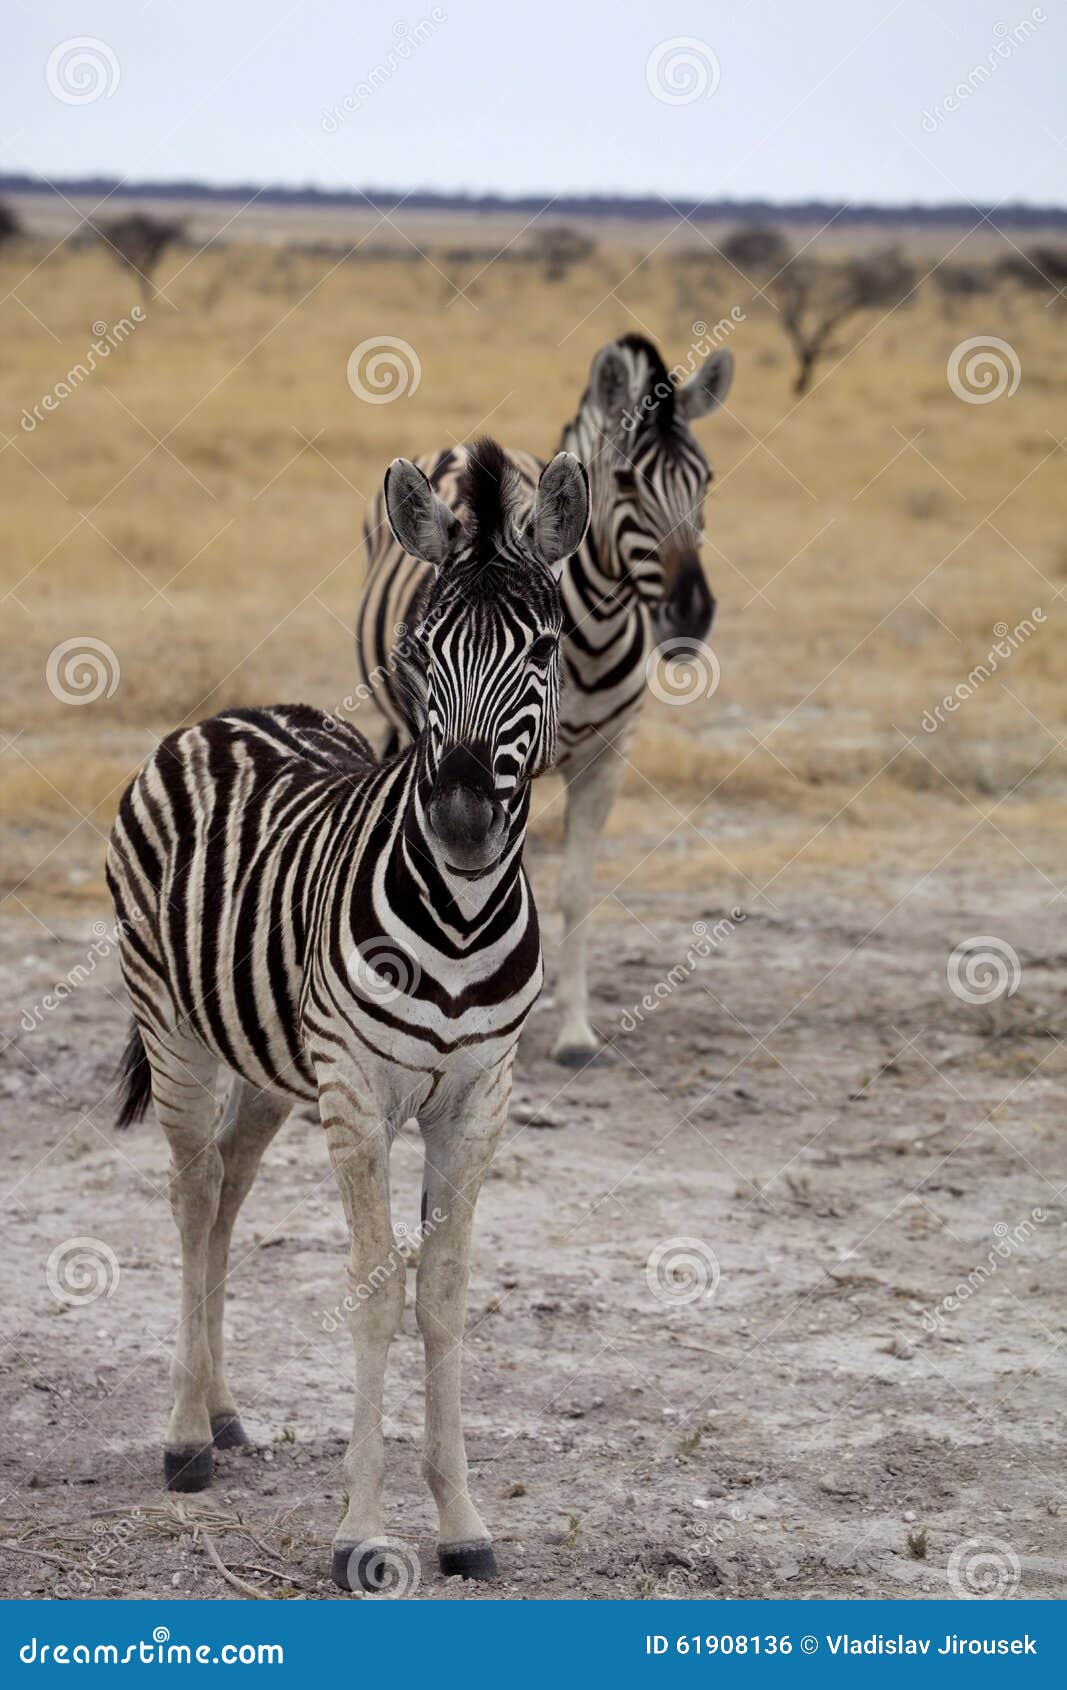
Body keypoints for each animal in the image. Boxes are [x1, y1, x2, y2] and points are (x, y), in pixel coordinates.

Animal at [106, 439, 589, 1592]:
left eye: (543, 646)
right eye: (418, 649)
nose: (460, 815)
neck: (457, 916)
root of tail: (229, 712)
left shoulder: (478, 1097)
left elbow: (444, 1293)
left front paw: (460, 1520)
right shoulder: (360, 1095)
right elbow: (375, 1290)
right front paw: (360, 1530)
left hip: (274, 1061)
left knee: (230, 1188)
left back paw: (225, 1413)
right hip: (175, 1026)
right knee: (191, 1194)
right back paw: (185, 1436)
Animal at [355, 333, 734, 1065]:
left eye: (705, 480)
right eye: (626, 481)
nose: (692, 613)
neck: (590, 634)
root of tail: (463, 448)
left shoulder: (607, 758)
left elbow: (574, 891)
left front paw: (574, 1029)